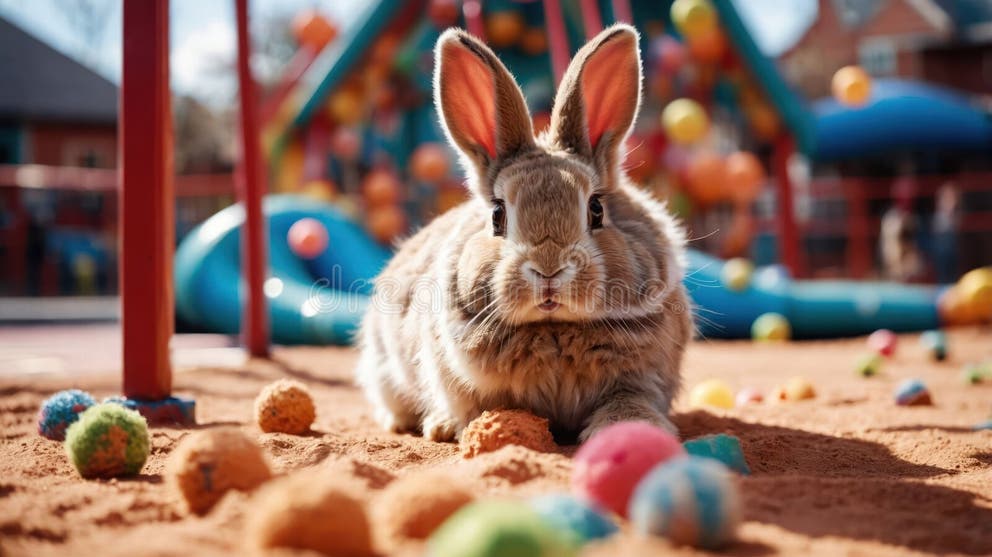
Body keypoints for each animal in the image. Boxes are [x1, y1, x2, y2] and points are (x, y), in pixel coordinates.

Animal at [355, 24, 692, 443]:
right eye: (498, 215)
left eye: (596, 209)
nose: (548, 271)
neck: (554, 328)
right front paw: (475, 428)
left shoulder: (642, 379)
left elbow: (629, 402)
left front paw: (629, 431)